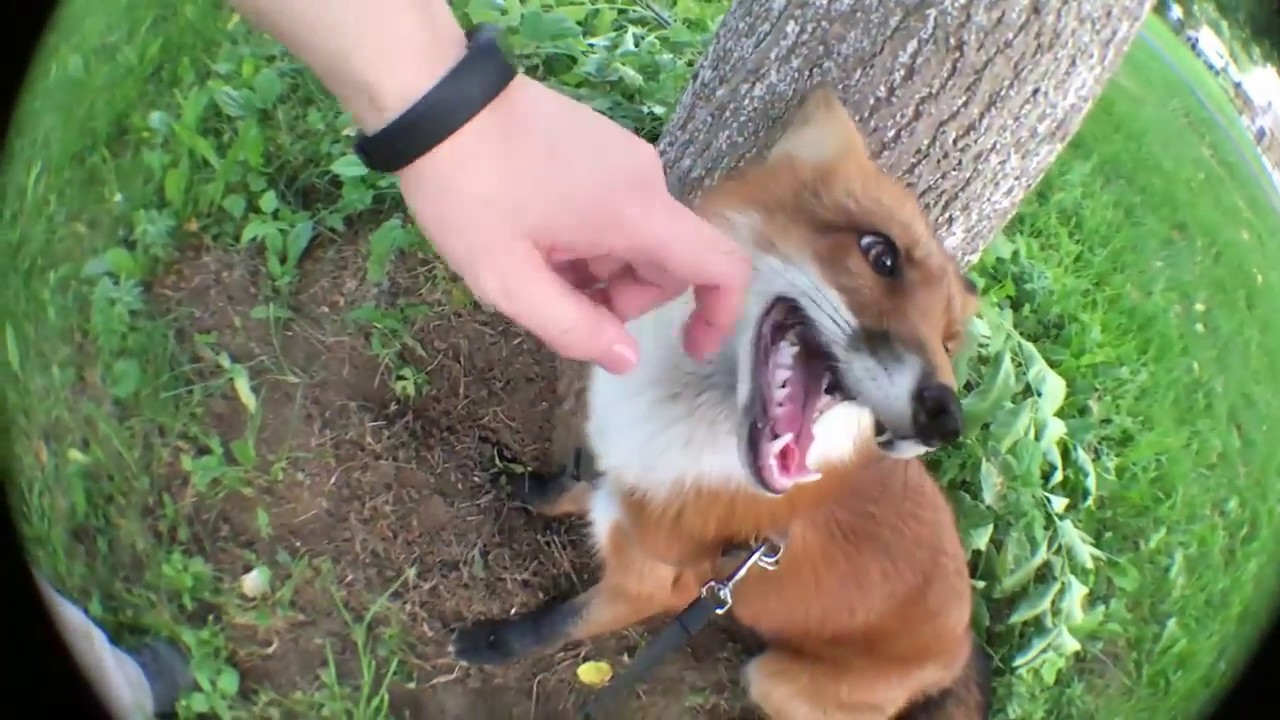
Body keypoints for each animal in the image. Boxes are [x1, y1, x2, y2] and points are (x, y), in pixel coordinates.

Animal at [450, 86, 992, 720]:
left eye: (948, 343)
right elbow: (566, 487)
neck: (668, 434)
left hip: (769, 678)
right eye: (880, 254)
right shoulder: (617, 476)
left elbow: (560, 623)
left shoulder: (659, 585)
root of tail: (963, 644)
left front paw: (491, 643)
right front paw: (523, 484)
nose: (945, 417)